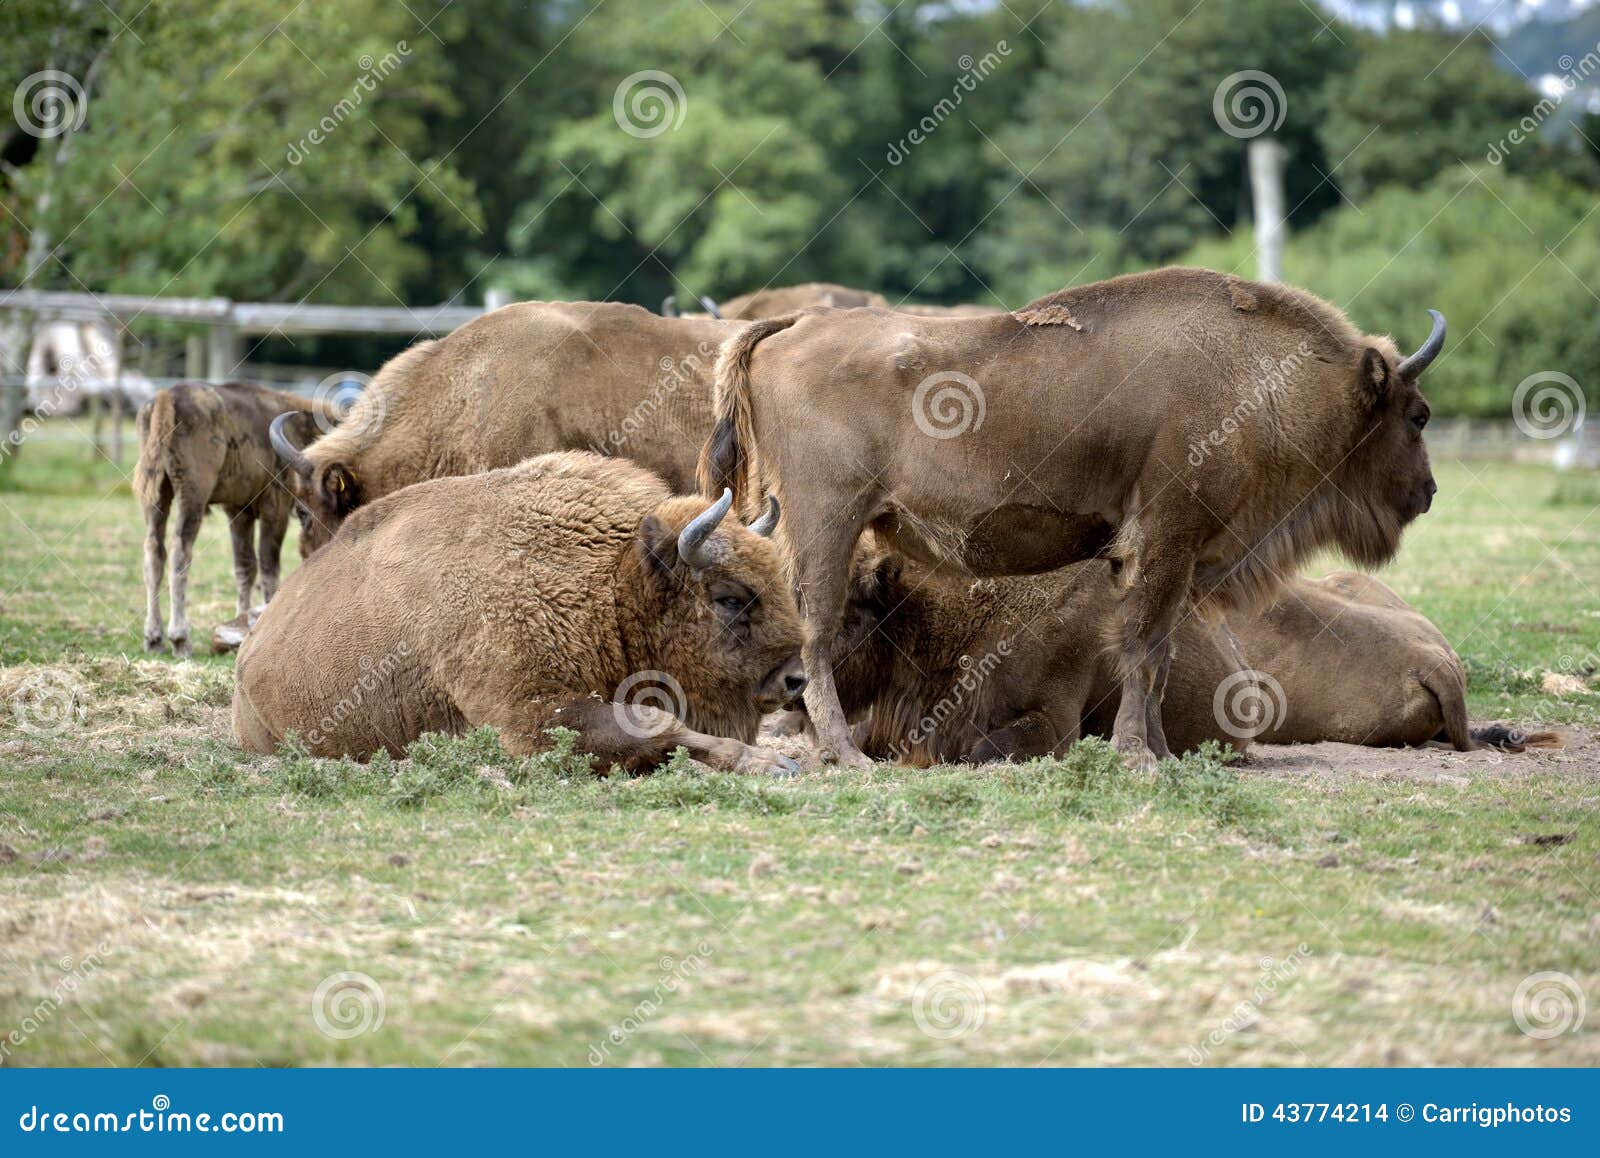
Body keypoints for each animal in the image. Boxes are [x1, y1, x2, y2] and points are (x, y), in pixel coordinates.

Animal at [233, 452, 807, 774]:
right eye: (730, 597)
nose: (794, 679)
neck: (610, 580)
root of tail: (248, 654)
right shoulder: (529, 711)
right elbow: (655, 725)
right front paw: (772, 762)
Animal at [699, 266, 1446, 768]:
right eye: (1416, 415)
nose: (1428, 492)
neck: (1256, 374)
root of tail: (792, 327)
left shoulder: (1165, 559)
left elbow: (1159, 655)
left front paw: (1161, 753)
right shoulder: (1165, 540)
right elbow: (1143, 647)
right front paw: (1138, 756)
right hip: (826, 518)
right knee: (817, 628)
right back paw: (843, 754)